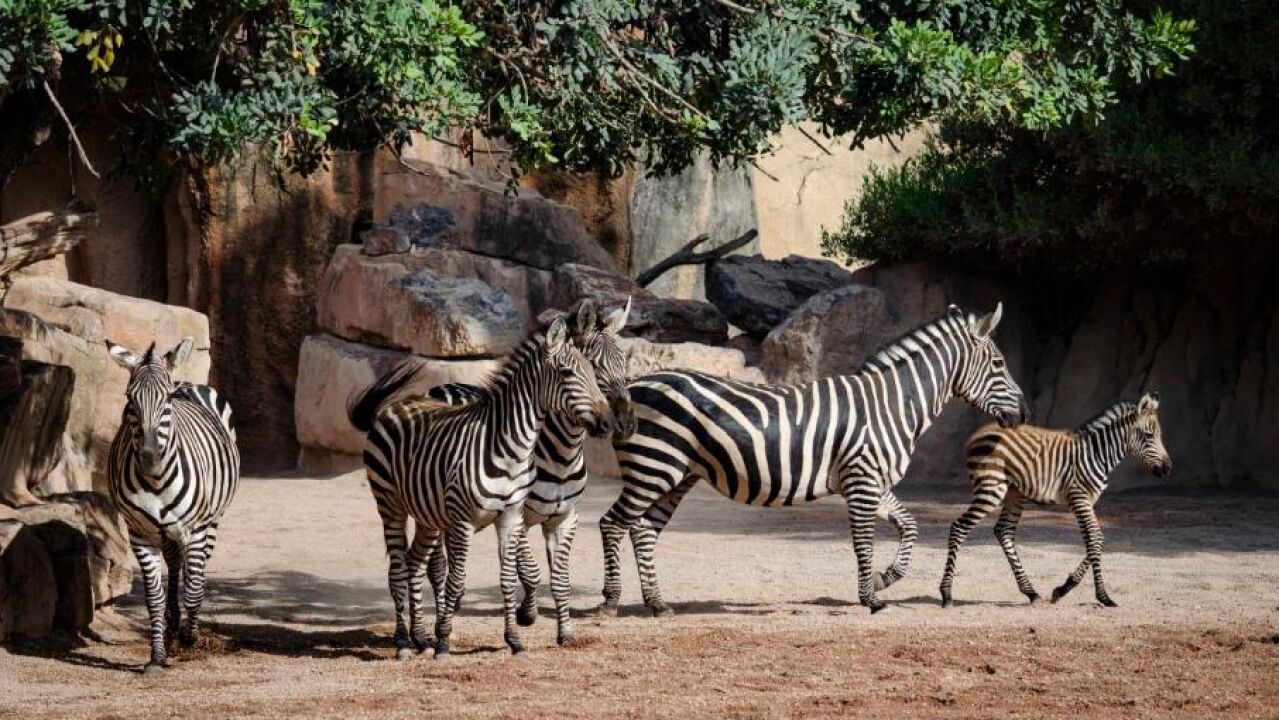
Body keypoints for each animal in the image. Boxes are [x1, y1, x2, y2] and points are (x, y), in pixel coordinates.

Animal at [105, 338, 239, 674]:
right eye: (129, 399)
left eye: (165, 401)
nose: (149, 457)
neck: (155, 481)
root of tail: (185, 382)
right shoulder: (139, 533)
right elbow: (154, 598)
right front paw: (157, 656)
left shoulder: (197, 527)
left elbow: (194, 590)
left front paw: (190, 638)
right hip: (164, 531)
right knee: (177, 562)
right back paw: (172, 621)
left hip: (211, 521)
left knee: (195, 572)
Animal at [347, 315, 614, 659]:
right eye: (567, 373)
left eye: (592, 372)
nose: (609, 423)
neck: (513, 447)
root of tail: (397, 405)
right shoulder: (463, 520)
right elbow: (458, 579)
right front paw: (444, 642)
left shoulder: (512, 517)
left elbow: (509, 580)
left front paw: (515, 641)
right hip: (390, 505)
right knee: (399, 570)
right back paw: (404, 643)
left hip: (427, 514)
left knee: (414, 564)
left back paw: (420, 638)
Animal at [424, 298, 634, 646]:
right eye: (592, 365)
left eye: (625, 363)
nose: (623, 423)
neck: (561, 456)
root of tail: (445, 387)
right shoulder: (519, 515)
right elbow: (532, 572)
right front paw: (527, 614)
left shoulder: (566, 516)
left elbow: (559, 579)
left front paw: (563, 633)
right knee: (438, 565)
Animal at [599, 303, 1029, 616]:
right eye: (999, 365)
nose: (1024, 414)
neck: (890, 404)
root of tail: (635, 383)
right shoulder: (861, 479)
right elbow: (863, 541)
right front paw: (871, 598)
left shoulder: (872, 481)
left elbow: (909, 526)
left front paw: (886, 578)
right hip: (653, 466)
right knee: (612, 524)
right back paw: (610, 601)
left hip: (676, 473)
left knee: (643, 530)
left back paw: (657, 604)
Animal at [940, 392, 1171, 609]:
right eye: (1149, 435)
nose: (1167, 468)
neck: (1098, 454)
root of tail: (977, 435)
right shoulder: (1079, 497)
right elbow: (1094, 539)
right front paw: (1103, 597)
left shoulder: (1088, 501)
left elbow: (1097, 540)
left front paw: (1063, 589)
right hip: (991, 488)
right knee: (959, 527)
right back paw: (947, 594)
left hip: (1015, 493)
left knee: (1003, 531)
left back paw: (1031, 592)